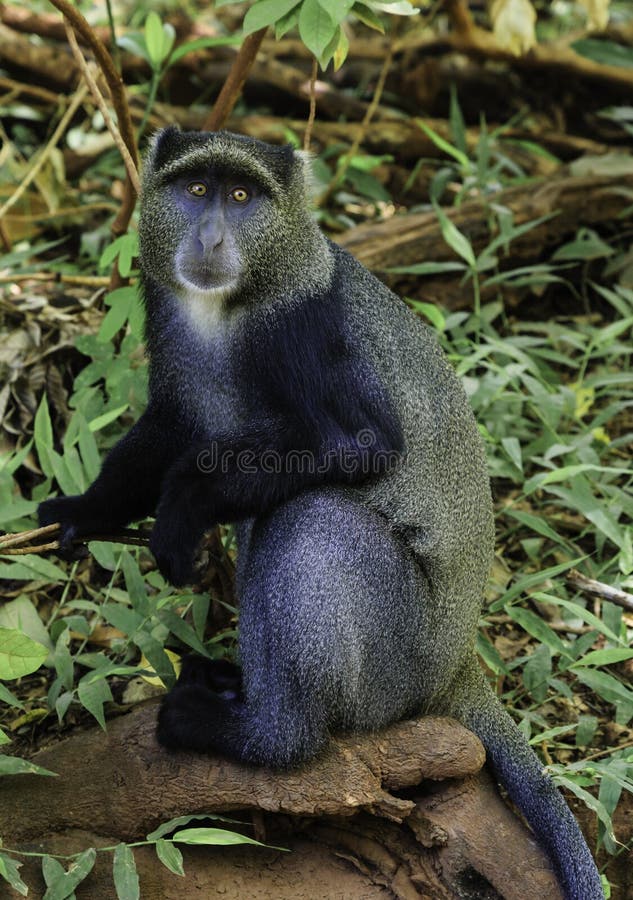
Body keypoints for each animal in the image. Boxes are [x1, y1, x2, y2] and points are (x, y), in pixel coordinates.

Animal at [38, 127, 602, 900]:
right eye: (195, 188)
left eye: (241, 195)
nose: (210, 235)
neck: (236, 302)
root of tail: (457, 663)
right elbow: (174, 426)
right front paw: (86, 511)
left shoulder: (305, 331)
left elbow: (357, 447)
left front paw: (182, 510)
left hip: (397, 662)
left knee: (313, 517)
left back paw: (267, 737)